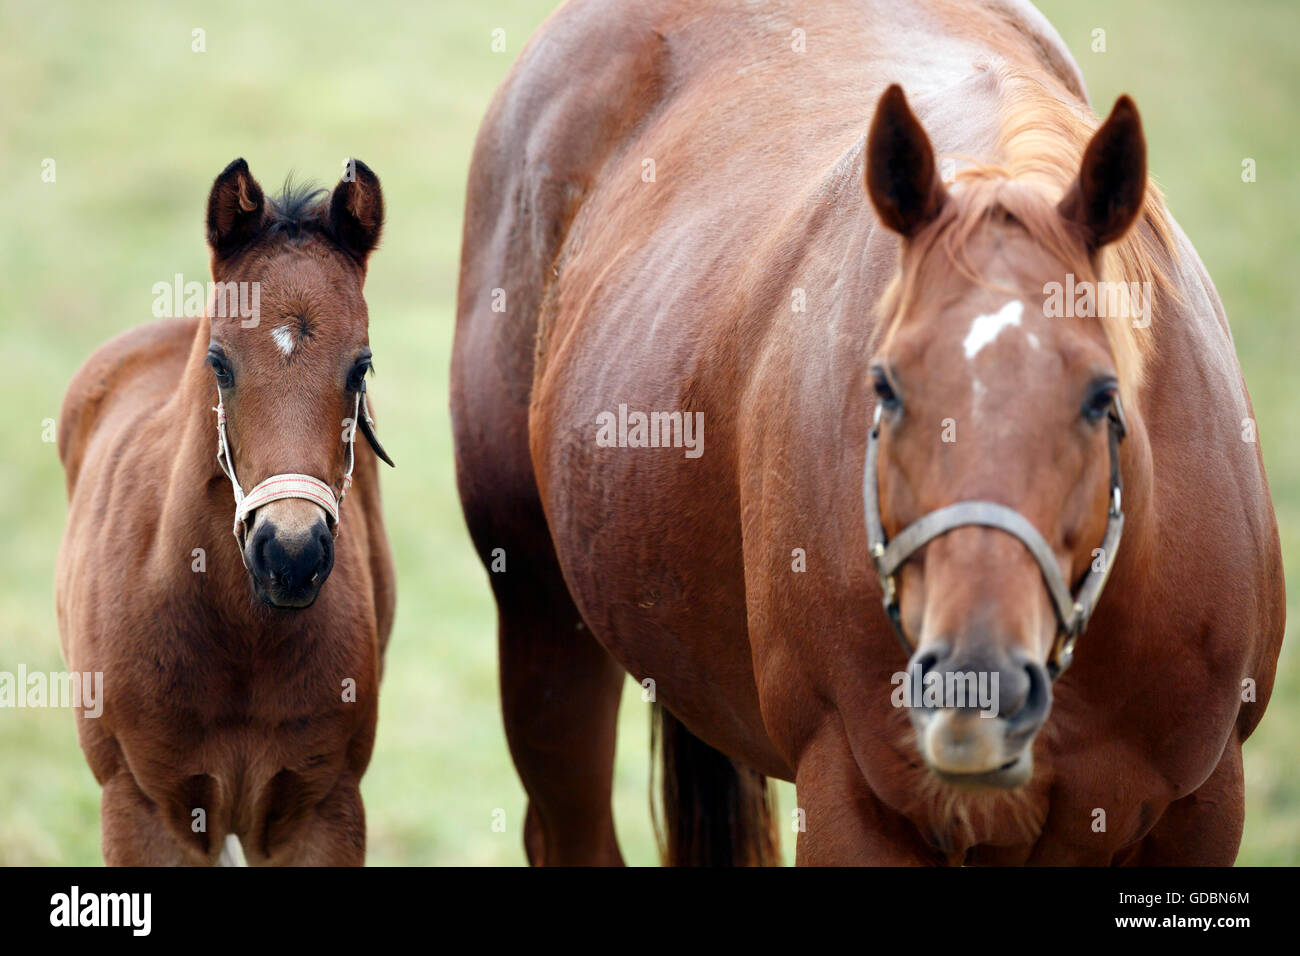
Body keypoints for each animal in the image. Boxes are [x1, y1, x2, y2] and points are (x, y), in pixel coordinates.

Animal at [56, 158, 396, 865]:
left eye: (361, 367)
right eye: (220, 364)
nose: (290, 555)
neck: (241, 634)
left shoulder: (323, 806)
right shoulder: (141, 805)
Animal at [452, 0, 1284, 865]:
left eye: (1101, 396)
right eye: (884, 385)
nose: (975, 683)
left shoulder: (1204, 803)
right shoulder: (849, 798)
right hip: (544, 621)